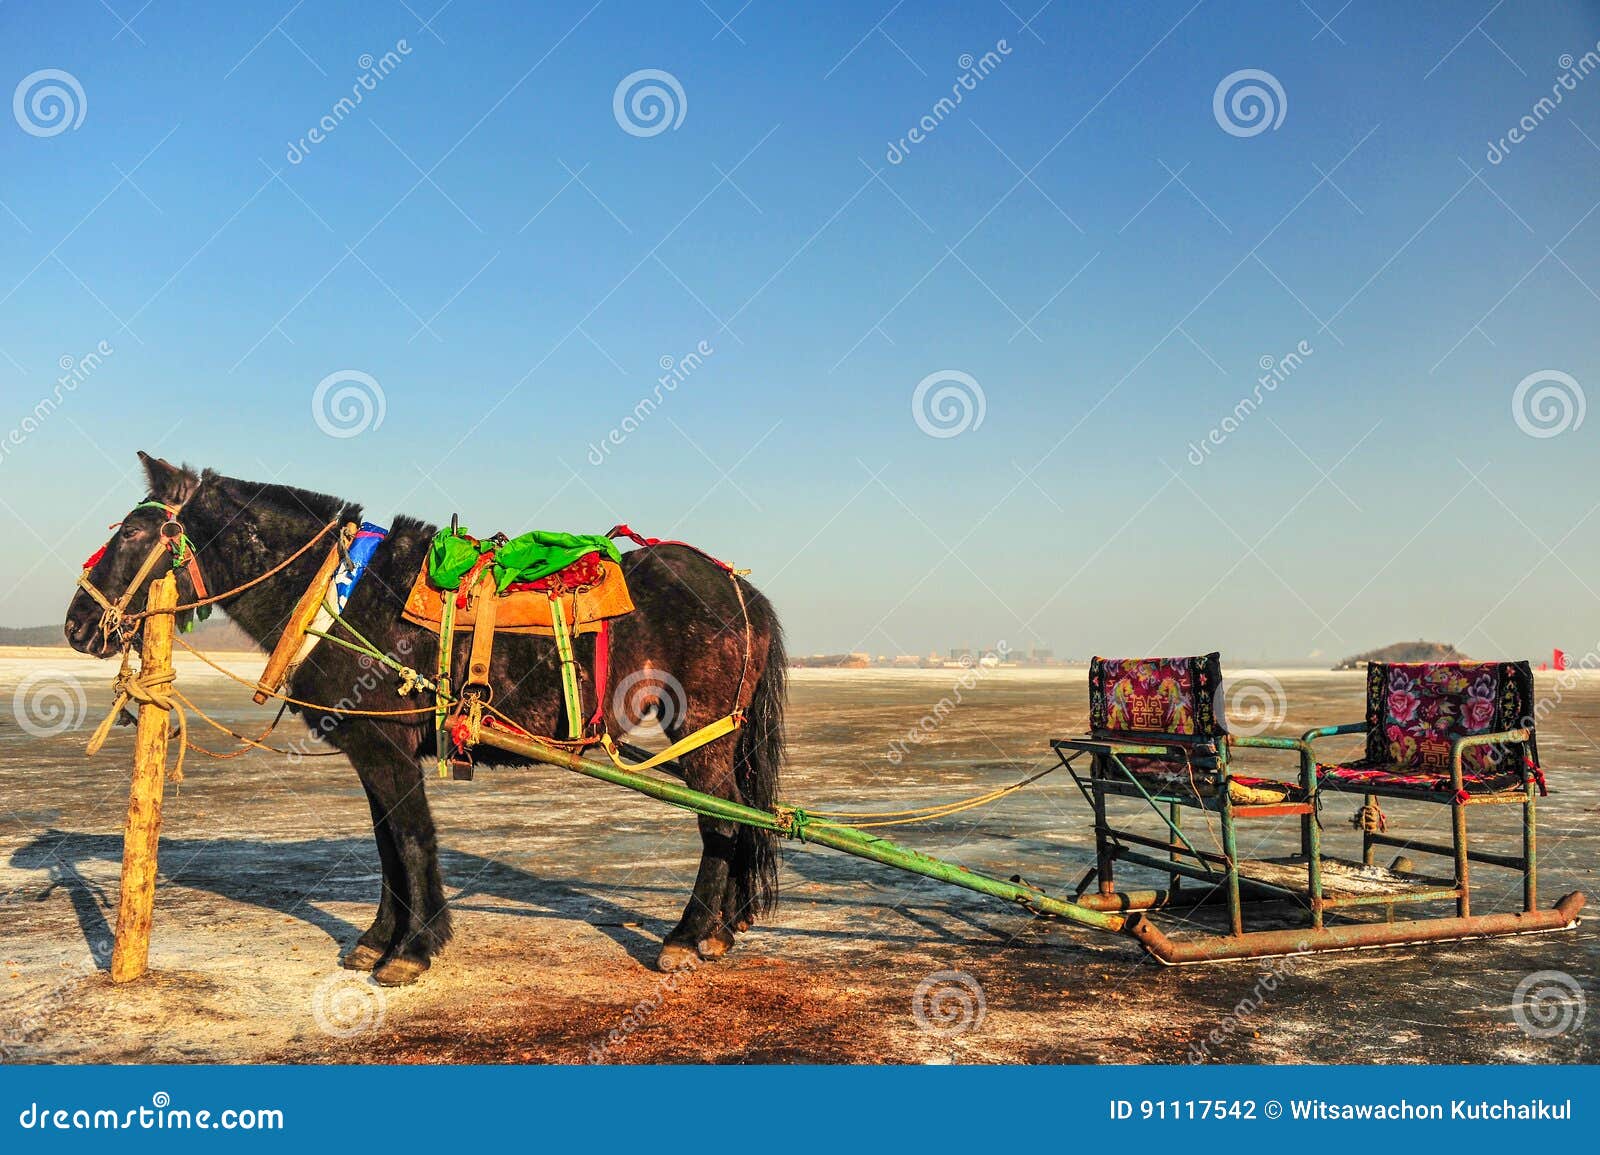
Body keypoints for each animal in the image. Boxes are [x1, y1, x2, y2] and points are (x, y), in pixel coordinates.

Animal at [64, 452, 787, 985]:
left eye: (134, 532)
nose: (76, 623)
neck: (340, 597)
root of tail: (741, 589)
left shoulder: (383, 743)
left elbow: (411, 840)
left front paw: (411, 950)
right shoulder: (373, 750)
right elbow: (387, 845)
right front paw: (378, 939)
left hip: (697, 733)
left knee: (722, 822)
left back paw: (687, 937)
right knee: (738, 819)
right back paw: (719, 931)